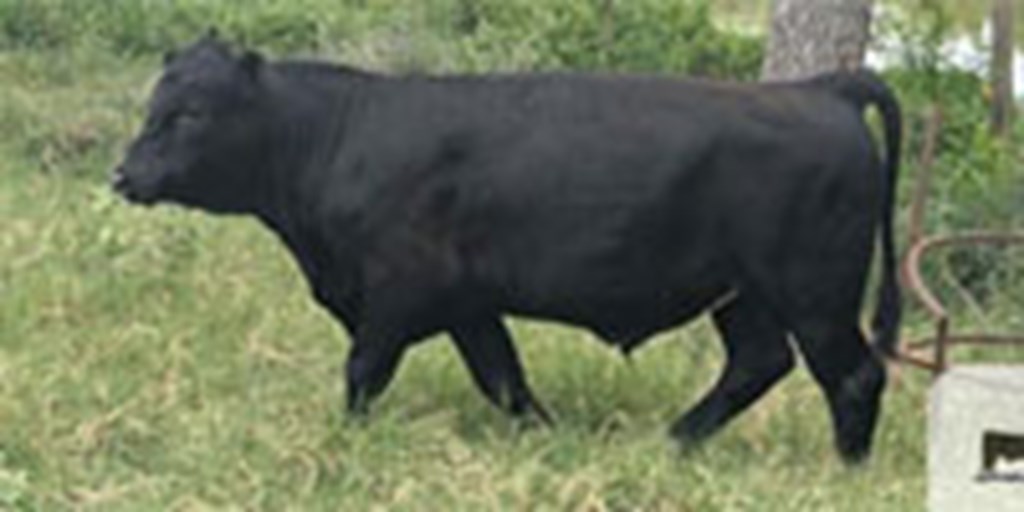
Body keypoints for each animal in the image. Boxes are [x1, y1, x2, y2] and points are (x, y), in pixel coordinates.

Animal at [113, 33, 903, 464]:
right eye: (153, 104)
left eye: (191, 113)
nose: (125, 173)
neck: (337, 136)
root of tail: (819, 89)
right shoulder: (468, 303)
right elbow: (504, 379)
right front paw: (548, 439)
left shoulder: (400, 289)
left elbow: (364, 370)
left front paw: (345, 440)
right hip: (744, 293)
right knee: (758, 364)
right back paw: (674, 440)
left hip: (813, 289)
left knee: (853, 375)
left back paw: (846, 469)